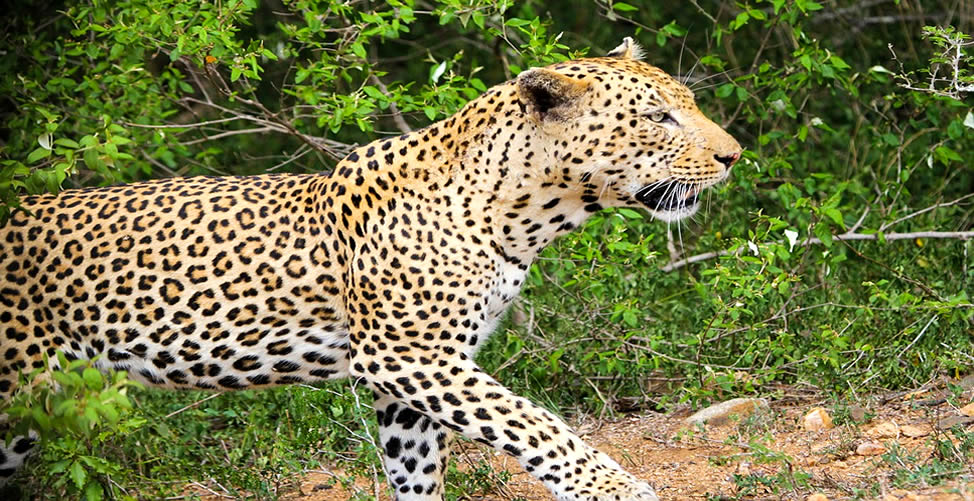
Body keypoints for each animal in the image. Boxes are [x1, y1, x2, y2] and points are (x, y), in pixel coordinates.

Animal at [0, 38, 740, 500]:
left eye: (687, 105)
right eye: (659, 116)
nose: (734, 155)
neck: (521, 213)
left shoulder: (413, 381)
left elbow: (419, 471)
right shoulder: (407, 355)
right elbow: (535, 424)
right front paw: (612, 484)